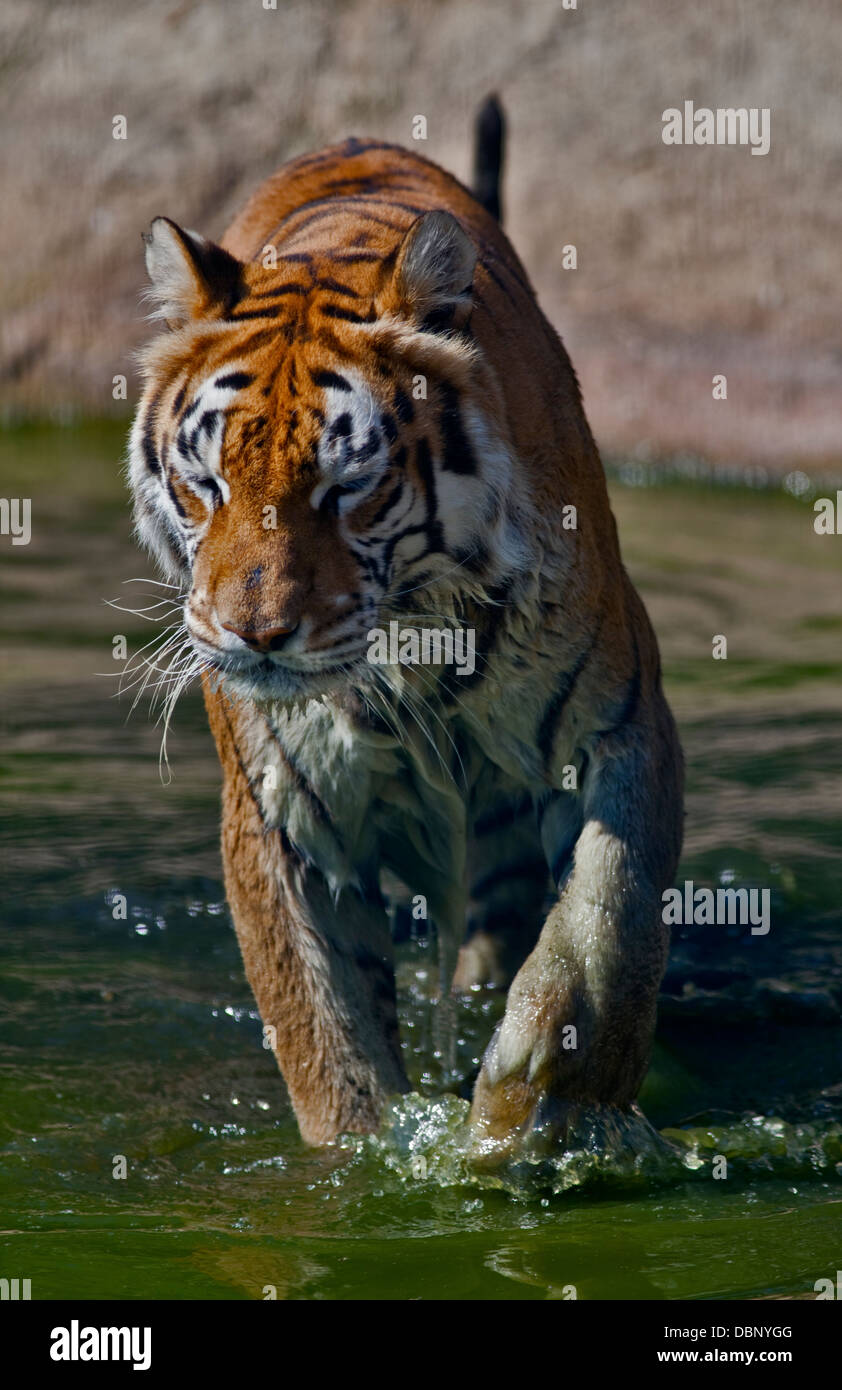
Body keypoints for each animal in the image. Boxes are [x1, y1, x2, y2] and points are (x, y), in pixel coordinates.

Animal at [129, 96, 684, 1152]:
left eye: (345, 488)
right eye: (207, 483)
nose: (253, 635)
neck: (408, 643)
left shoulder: (622, 720)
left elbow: (612, 909)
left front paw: (547, 1088)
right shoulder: (281, 809)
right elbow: (325, 1028)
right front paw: (366, 1157)